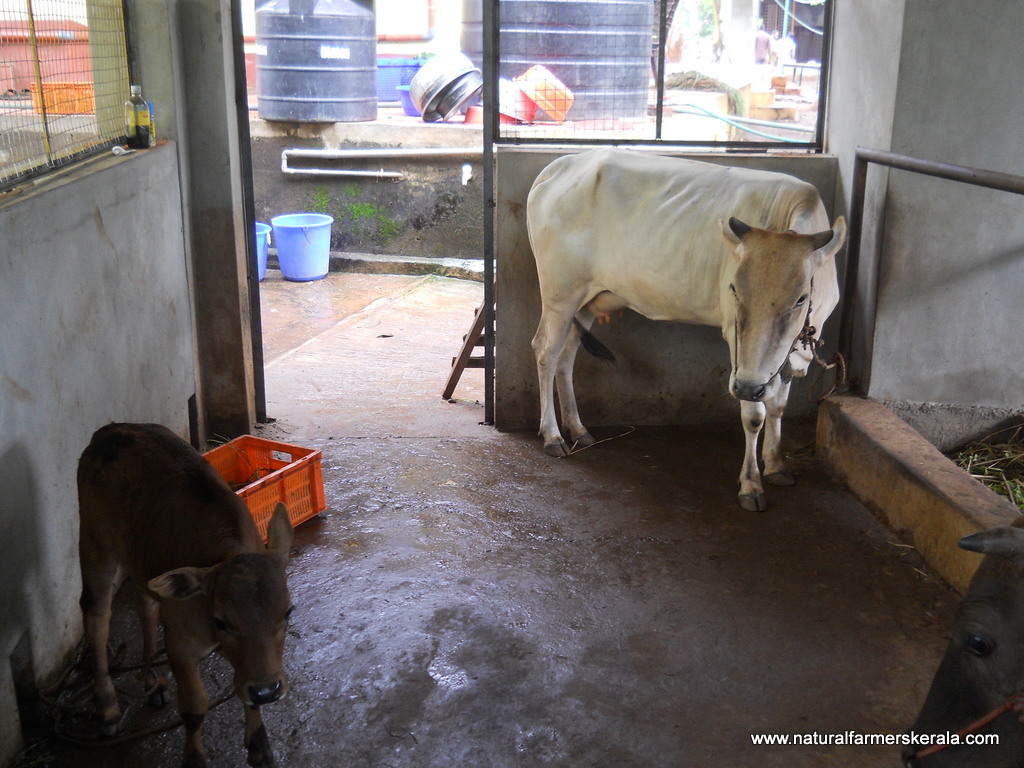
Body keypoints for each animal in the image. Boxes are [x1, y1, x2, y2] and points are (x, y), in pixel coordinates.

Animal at [77, 422, 294, 768]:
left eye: (287, 612)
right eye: (220, 621)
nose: (268, 690)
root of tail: (112, 428)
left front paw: (260, 744)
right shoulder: (181, 644)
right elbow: (194, 706)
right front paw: (193, 758)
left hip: (140, 558)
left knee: (146, 606)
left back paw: (153, 682)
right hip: (93, 539)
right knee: (96, 613)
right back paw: (108, 710)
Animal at [527, 148, 846, 511]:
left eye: (801, 297)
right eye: (733, 288)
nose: (748, 386)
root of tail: (559, 165)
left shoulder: (791, 351)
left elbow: (778, 405)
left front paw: (777, 466)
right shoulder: (738, 346)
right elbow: (755, 415)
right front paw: (751, 485)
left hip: (586, 300)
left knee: (567, 356)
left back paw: (578, 429)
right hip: (559, 295)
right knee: (546, 352)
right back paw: (552, 435)